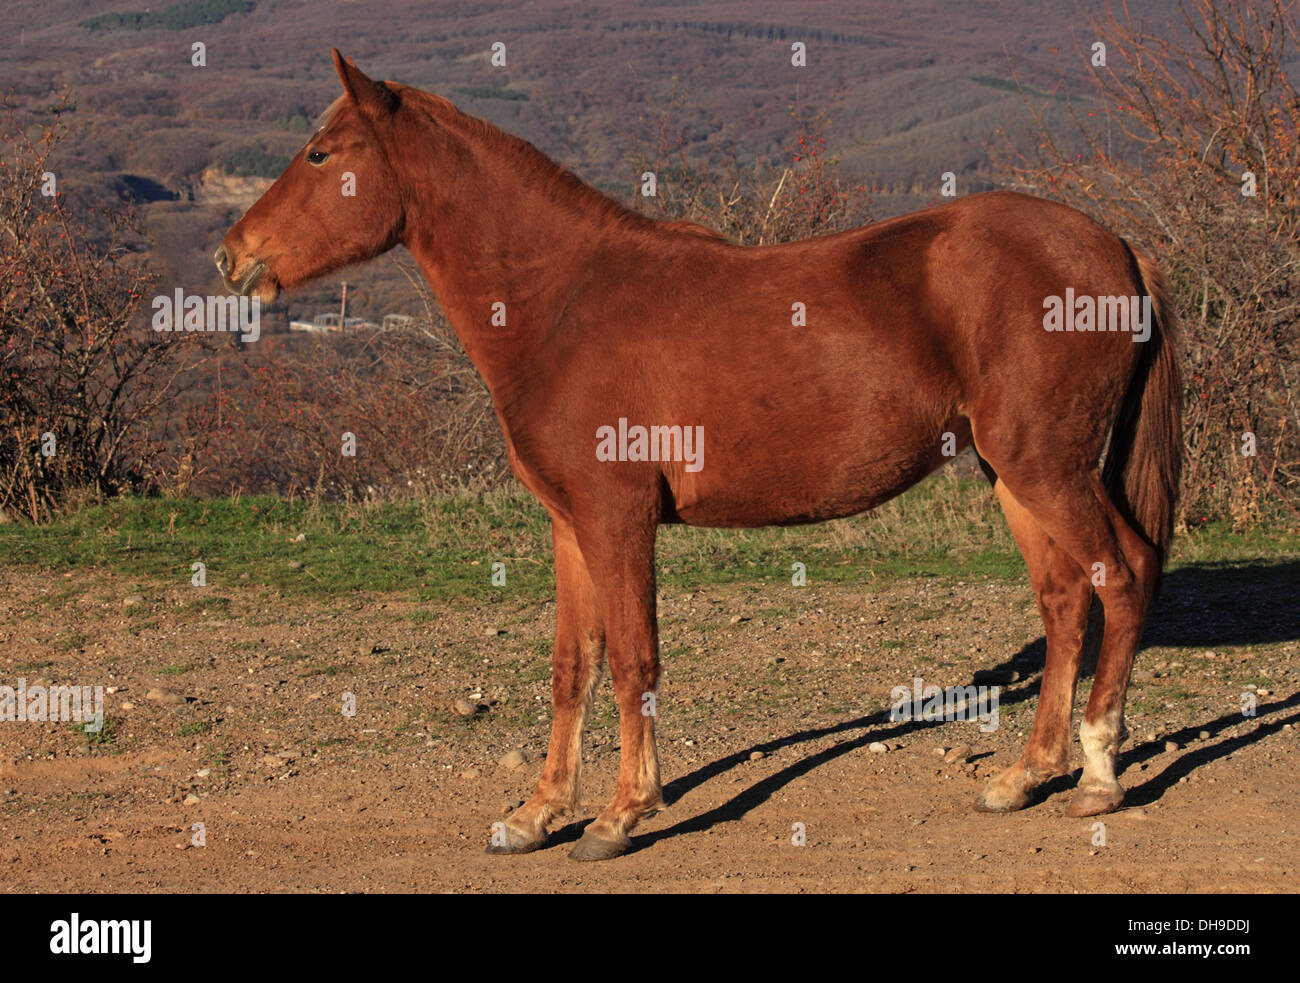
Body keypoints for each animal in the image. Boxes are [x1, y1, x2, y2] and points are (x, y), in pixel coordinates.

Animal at [216, 50, 1182, 861]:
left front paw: (618, 816)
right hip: (1012, 473)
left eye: (319, 153)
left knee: (1123, 575)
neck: (564, 301)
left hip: (1047, 468)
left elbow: (634, 662)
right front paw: (536, 814)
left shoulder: (619, 519)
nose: (232, 257)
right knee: (1066, 599)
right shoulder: (570, 524)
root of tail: (1113, 244)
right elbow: (573, 666)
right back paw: (1024, 775)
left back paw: (1098, 776)